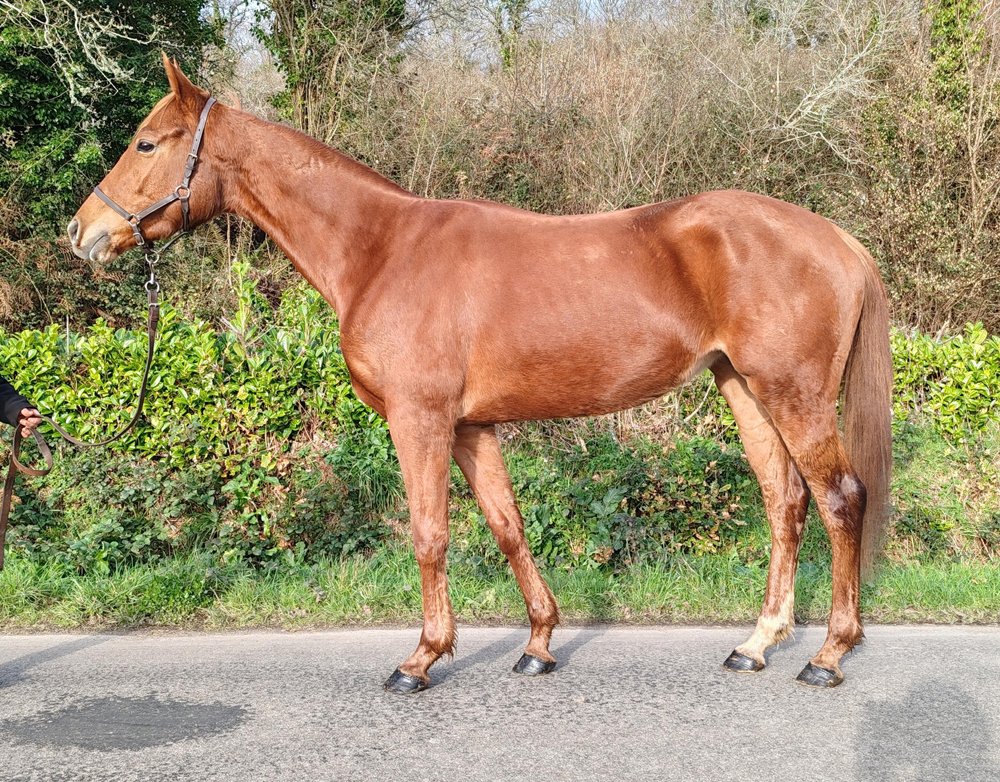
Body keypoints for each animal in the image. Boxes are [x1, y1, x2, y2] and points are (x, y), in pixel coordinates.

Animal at [69, 55, 892, 693]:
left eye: (147, 142)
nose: (82, 233)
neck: (381, 251)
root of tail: (838, 239)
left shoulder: (421, 418)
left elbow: (429, 532)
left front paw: (421, 659)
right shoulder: (471, 426)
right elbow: (506, 525)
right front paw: (538, 645)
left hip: (794, 394)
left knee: (840, 499)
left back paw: (827, 654)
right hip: (744, 389)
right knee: (784, 502)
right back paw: (757, 643)